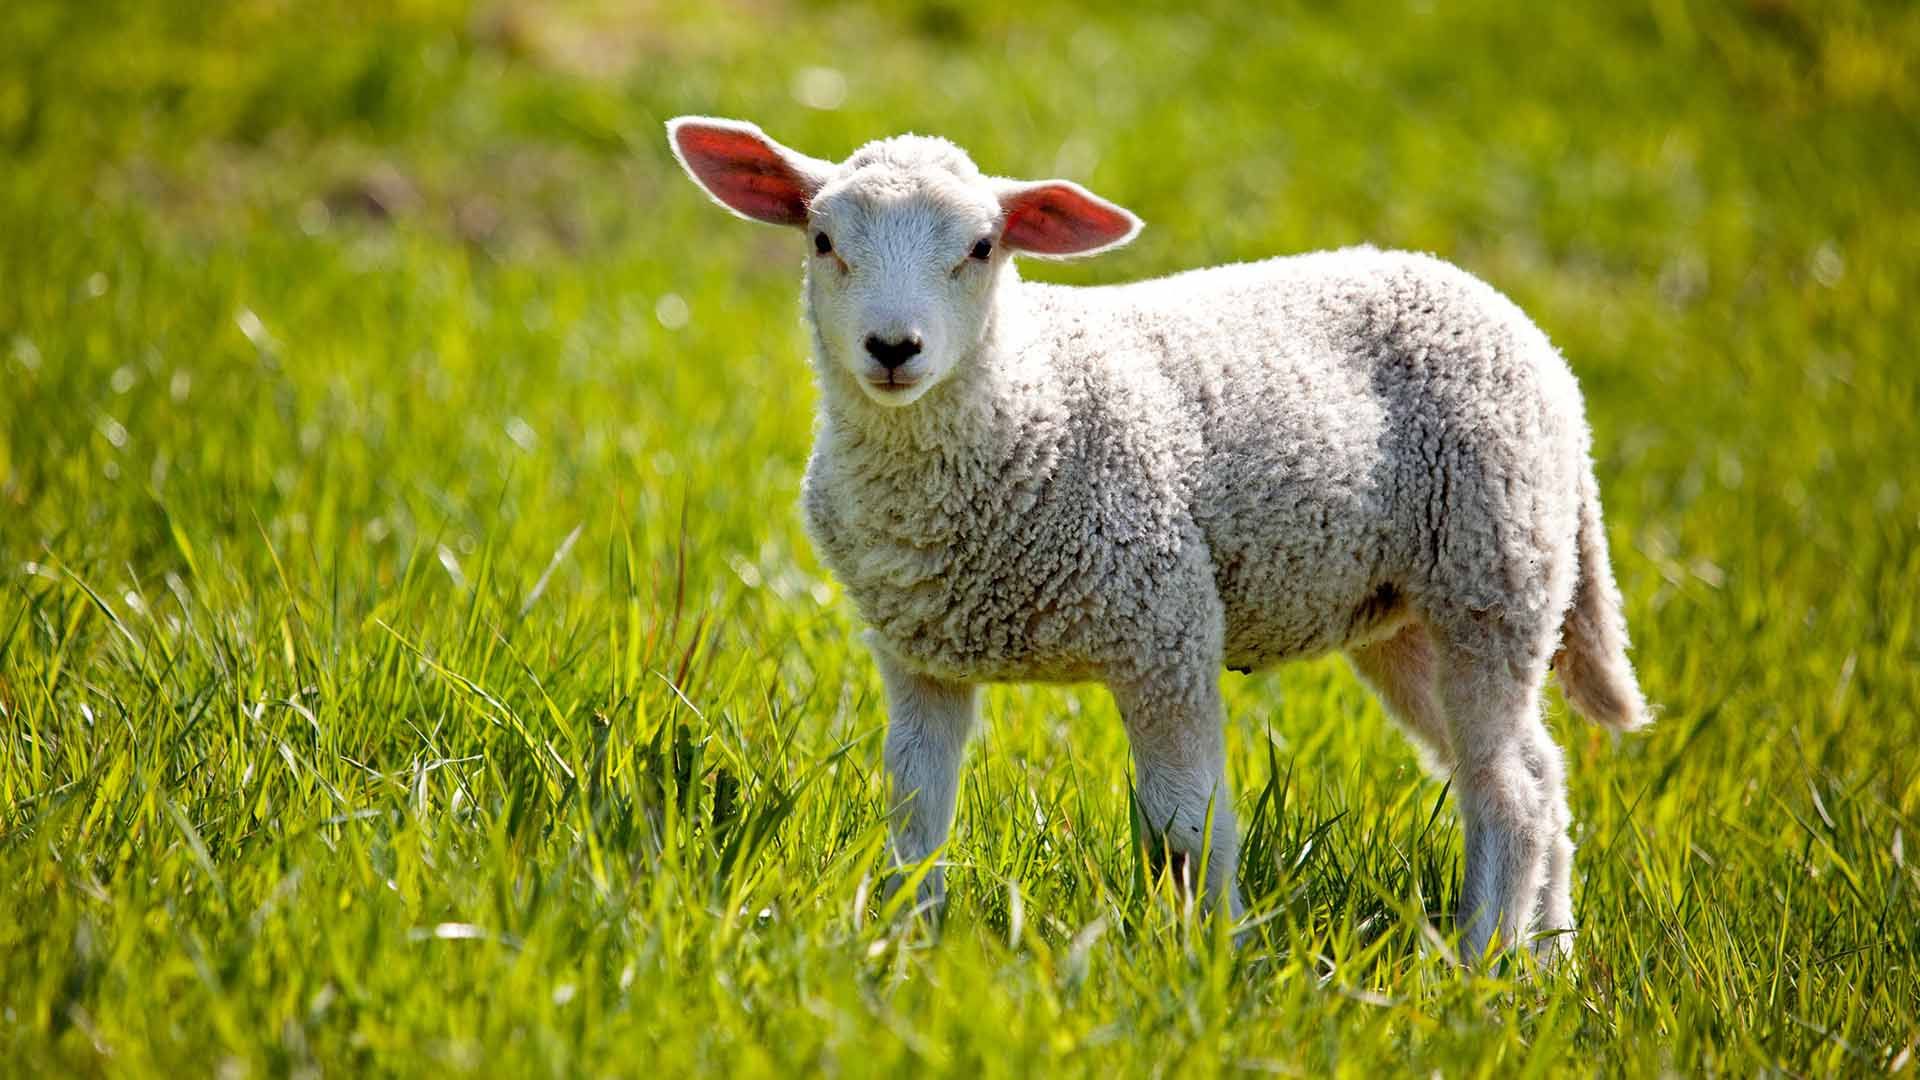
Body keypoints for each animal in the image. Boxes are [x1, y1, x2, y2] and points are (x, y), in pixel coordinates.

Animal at [666, 116, 1650, 962]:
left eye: (983, 249)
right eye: (823, 242)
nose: (893, 348)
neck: (1023, 405)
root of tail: (1536, 347)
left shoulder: (1163, 626)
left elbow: (1188, 823)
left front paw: (1217, 960)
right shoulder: (918, 658)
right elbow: (916, 817)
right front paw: (905, 947)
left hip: (1494, 564)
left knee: (1508, 790)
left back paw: (1482, 966)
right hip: (1406, 612)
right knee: (1538, 772)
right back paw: (1547, 962)